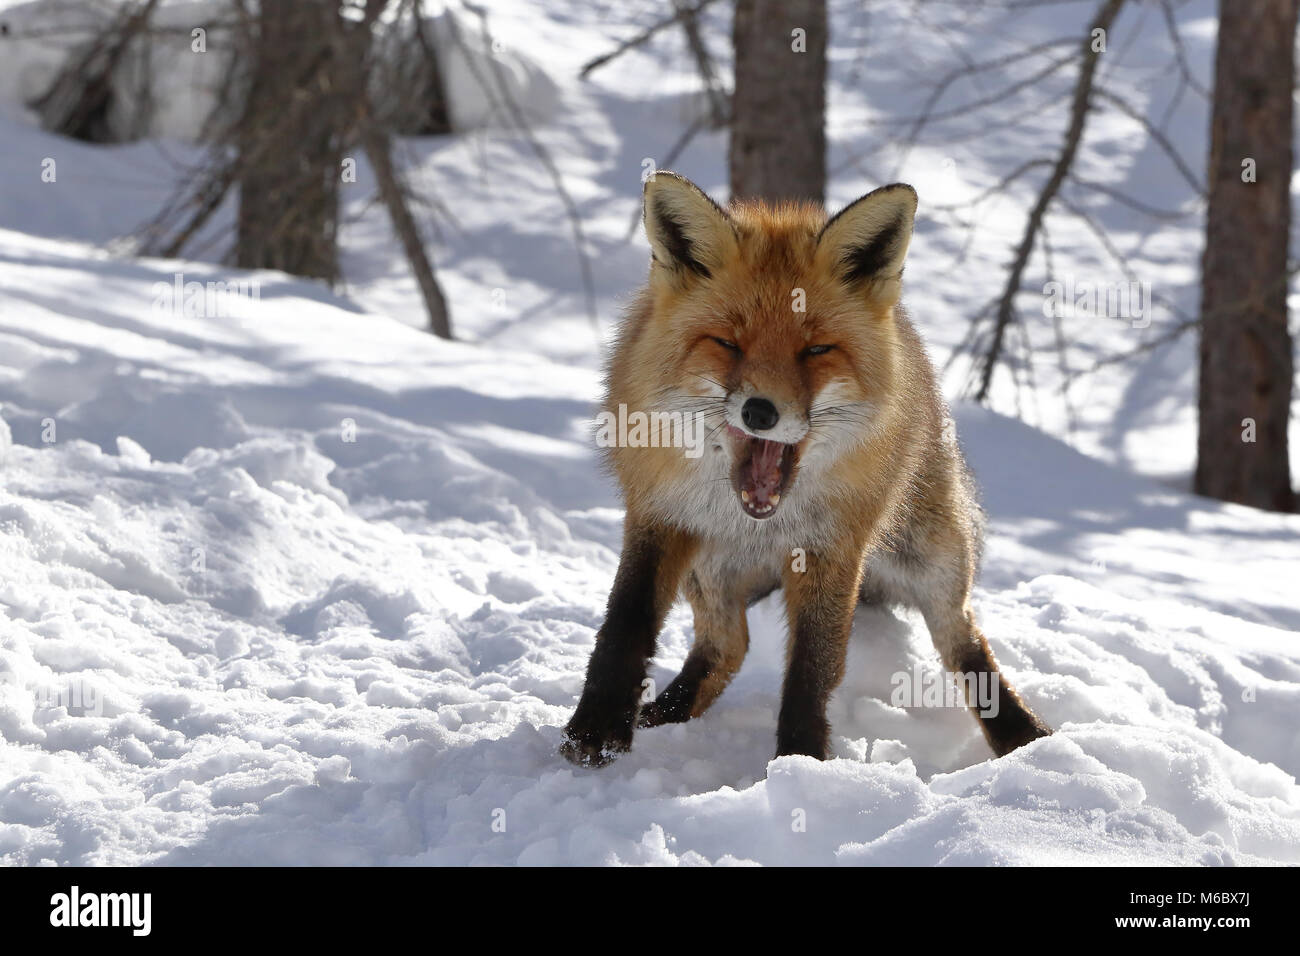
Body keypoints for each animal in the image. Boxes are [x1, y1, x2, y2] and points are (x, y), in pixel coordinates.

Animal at [560, 171, 1052, 767]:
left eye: (815, 350)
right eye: (728, 343)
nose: (760, 412)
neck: (756, 520)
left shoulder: (832, 546)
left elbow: (812, 668)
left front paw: (800, 763)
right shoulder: (659, 514)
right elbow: (625, 622)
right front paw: (595, 731)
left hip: (932, 558)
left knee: (962, 641)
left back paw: (1023, 736)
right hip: (708, 568)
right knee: (728, 646)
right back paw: (663, 715)